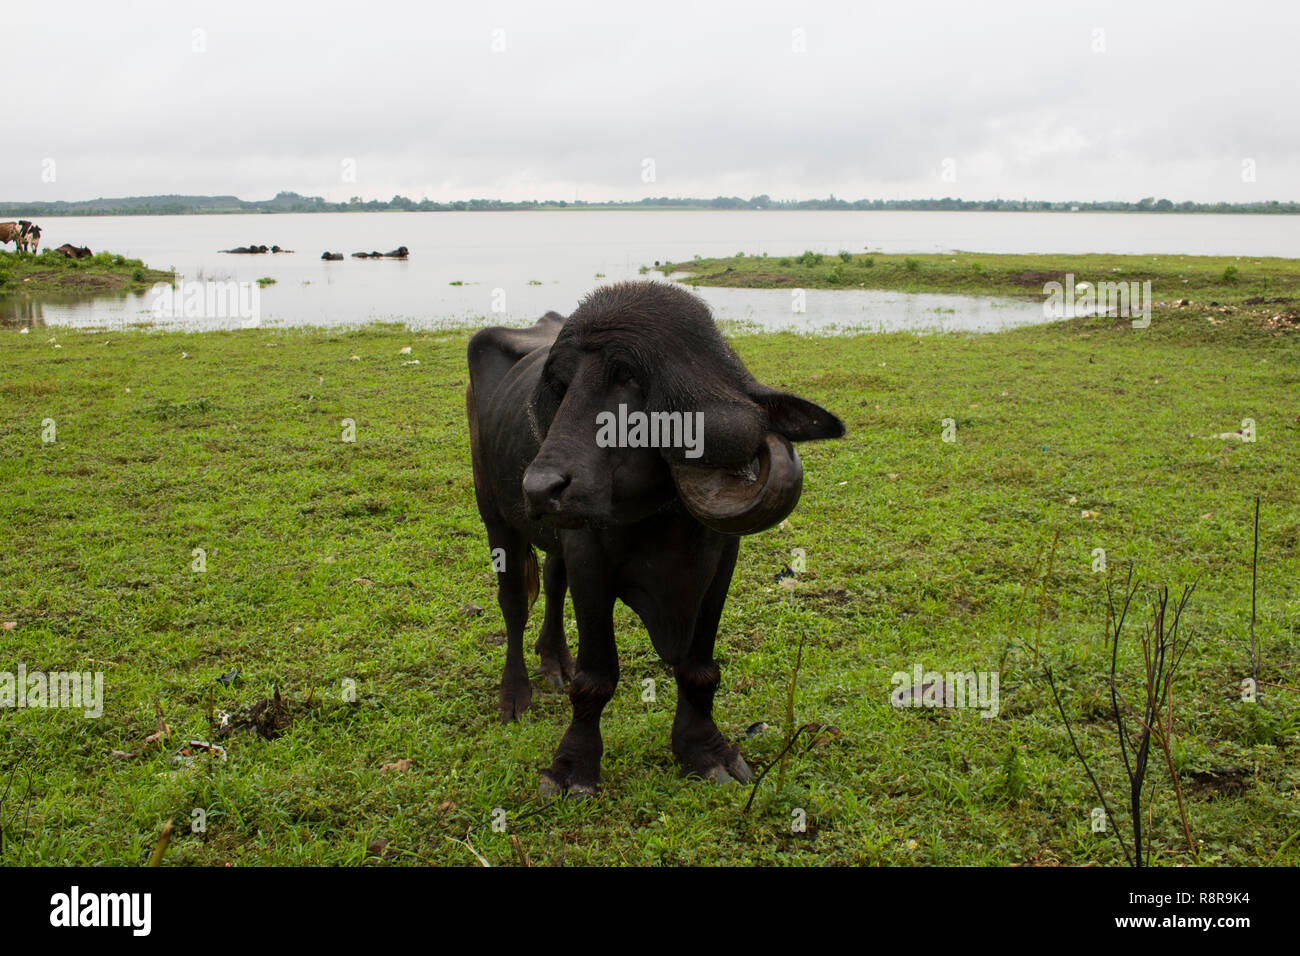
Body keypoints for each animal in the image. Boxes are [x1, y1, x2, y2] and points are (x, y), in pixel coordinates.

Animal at [466, 281, 844, 796]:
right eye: (560, 387)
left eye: (629, 379)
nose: (541, 489)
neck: (664, 526)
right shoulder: (591, 561)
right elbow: (597, 676)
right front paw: (572, 768)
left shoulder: (720, 562)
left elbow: (699, 667)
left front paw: (705, 750)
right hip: (496, 518)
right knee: (513, 604)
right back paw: (515, 695)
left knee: (552, 579)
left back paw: (555, 662)